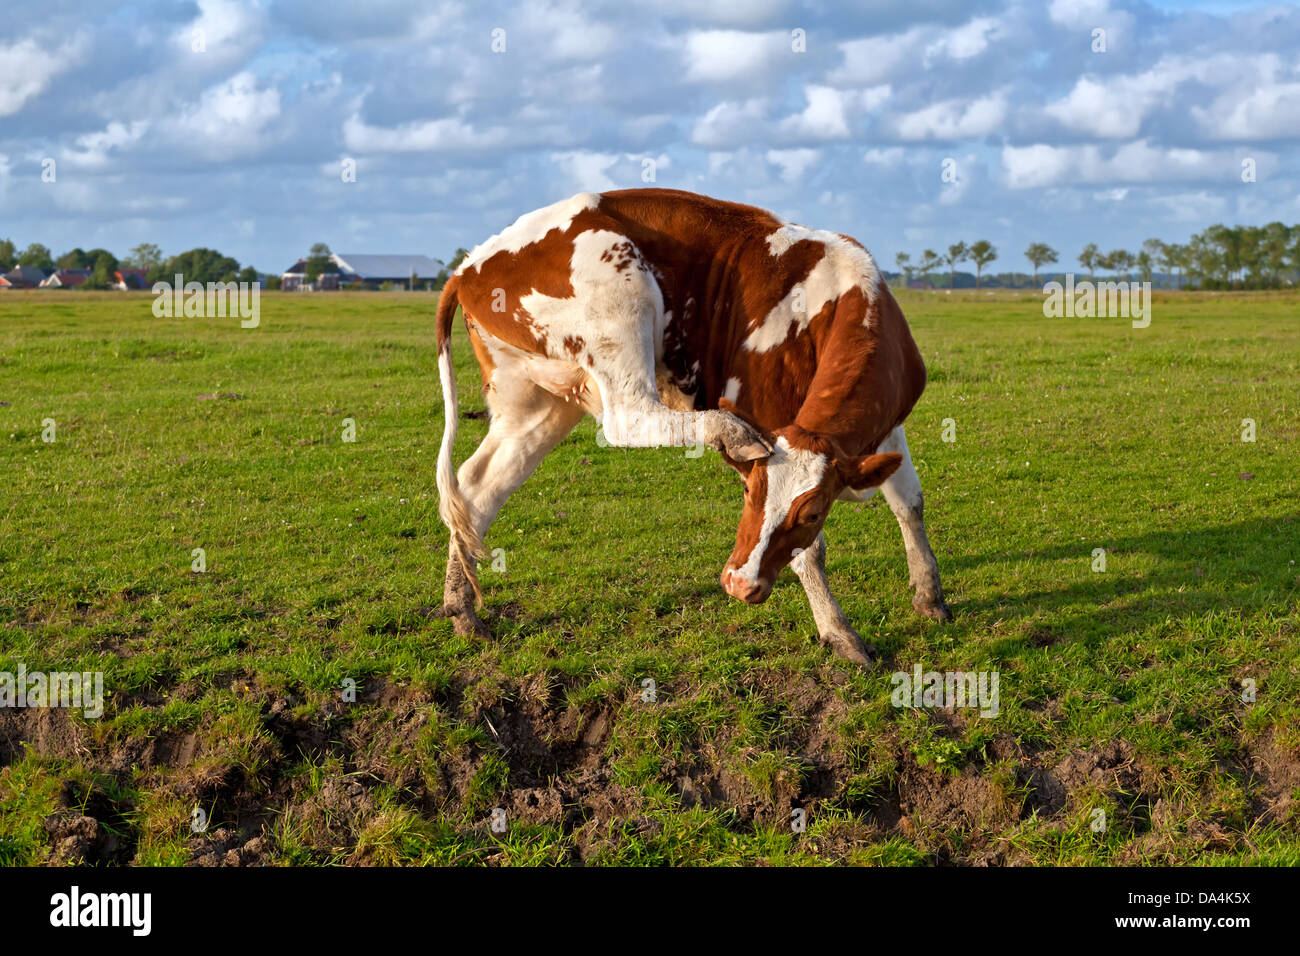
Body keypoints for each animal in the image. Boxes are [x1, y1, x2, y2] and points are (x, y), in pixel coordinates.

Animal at [436, 188, 951, 664]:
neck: (840, 296)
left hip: (538, 402)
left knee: (474, 489)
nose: (739, 584)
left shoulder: (883, 431)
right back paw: (726, 429)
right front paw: (838, 632)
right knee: (628, 417)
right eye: (750, 491)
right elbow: (813, 552)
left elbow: (910, 502)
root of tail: (469, 266)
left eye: (811, 513)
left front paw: (930, 595)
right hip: (621, 303)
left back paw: (463, 611)